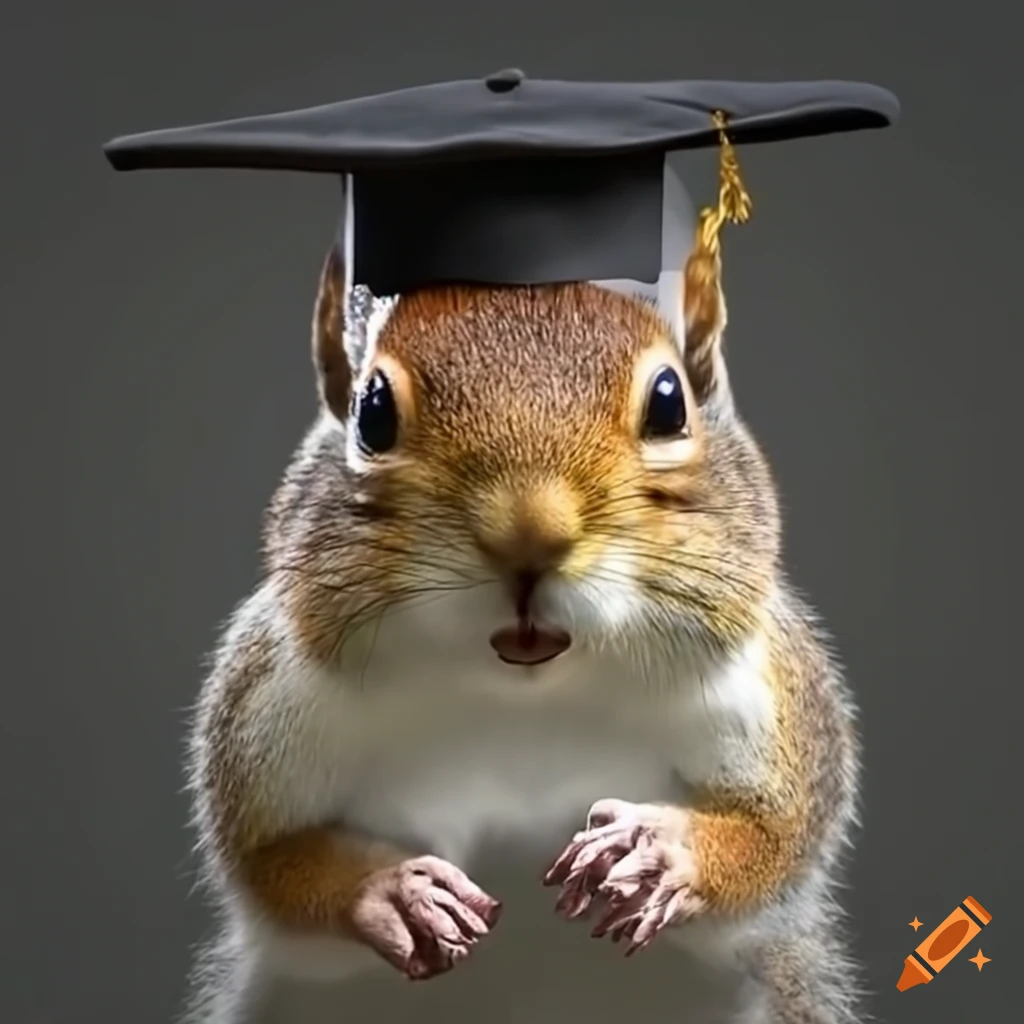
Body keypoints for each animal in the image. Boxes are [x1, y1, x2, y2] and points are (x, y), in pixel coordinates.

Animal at [182, 241, 866, 1024]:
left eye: (670, 402)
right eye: (372, 411)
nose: (529, 534)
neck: (524, 693)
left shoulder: (770, 693)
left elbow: (779, 834)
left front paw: (660, 851)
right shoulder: (268, 699)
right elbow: (265, 859)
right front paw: (392, 893)